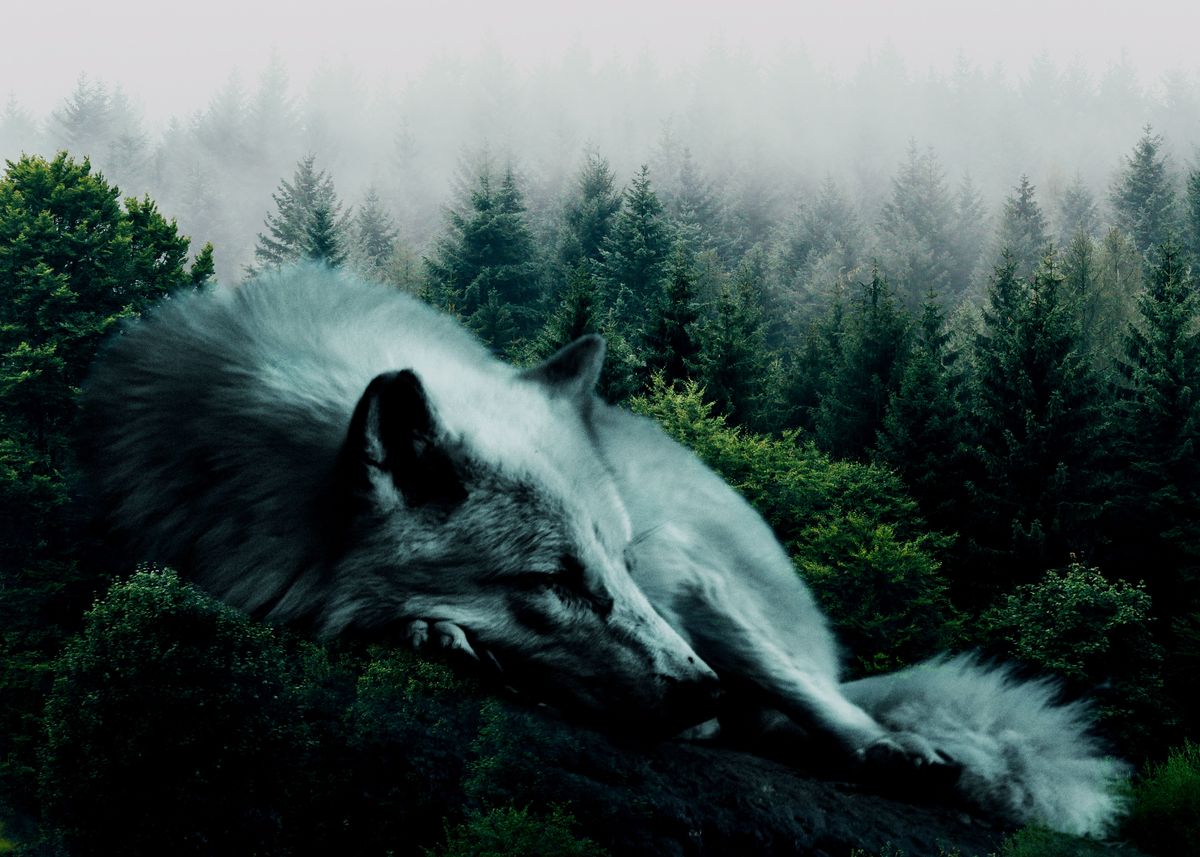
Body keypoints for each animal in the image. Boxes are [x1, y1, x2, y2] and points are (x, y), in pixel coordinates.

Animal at [83, 265, 1126, 837]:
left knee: (827, 706)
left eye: (614, 566)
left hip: (698, 577)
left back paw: (886, 748)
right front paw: (440, 635)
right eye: (552, 579)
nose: (699, 689)